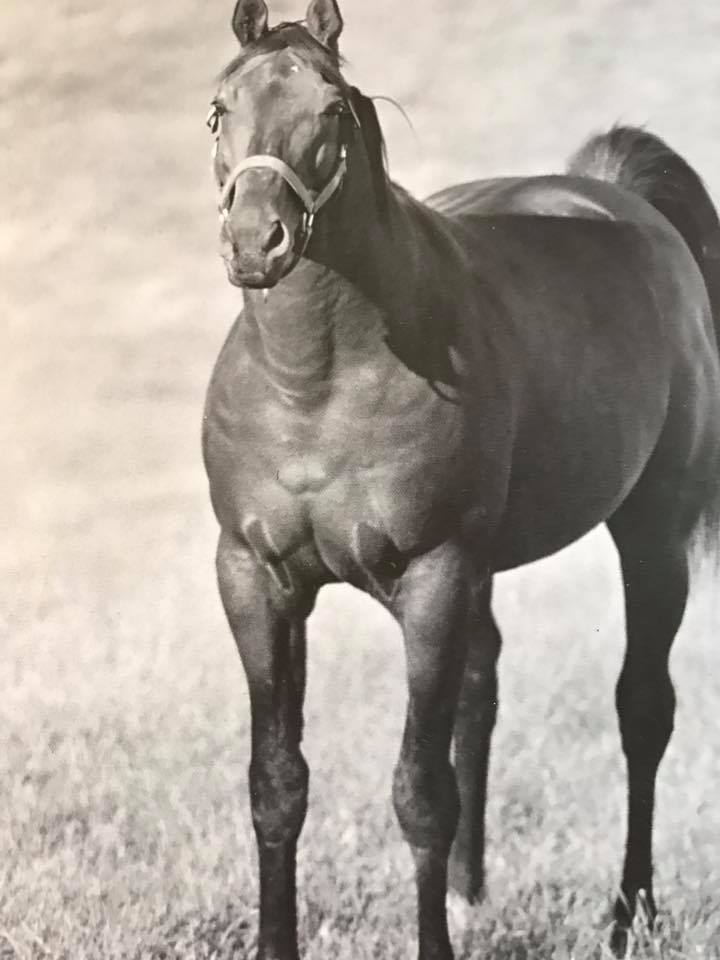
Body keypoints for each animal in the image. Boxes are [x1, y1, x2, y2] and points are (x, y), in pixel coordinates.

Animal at [201, 1, 720, 957]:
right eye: (220, 110)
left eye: (331, 110)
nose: (257, 242)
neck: (317, 384)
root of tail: (618, 194)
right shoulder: (255, 581)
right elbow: (277, 783)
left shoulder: (432, 576)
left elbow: (420, 792)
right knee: (483, 689)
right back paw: (475, 890)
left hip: (652, 538)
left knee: (643, 711)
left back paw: (631, 912)